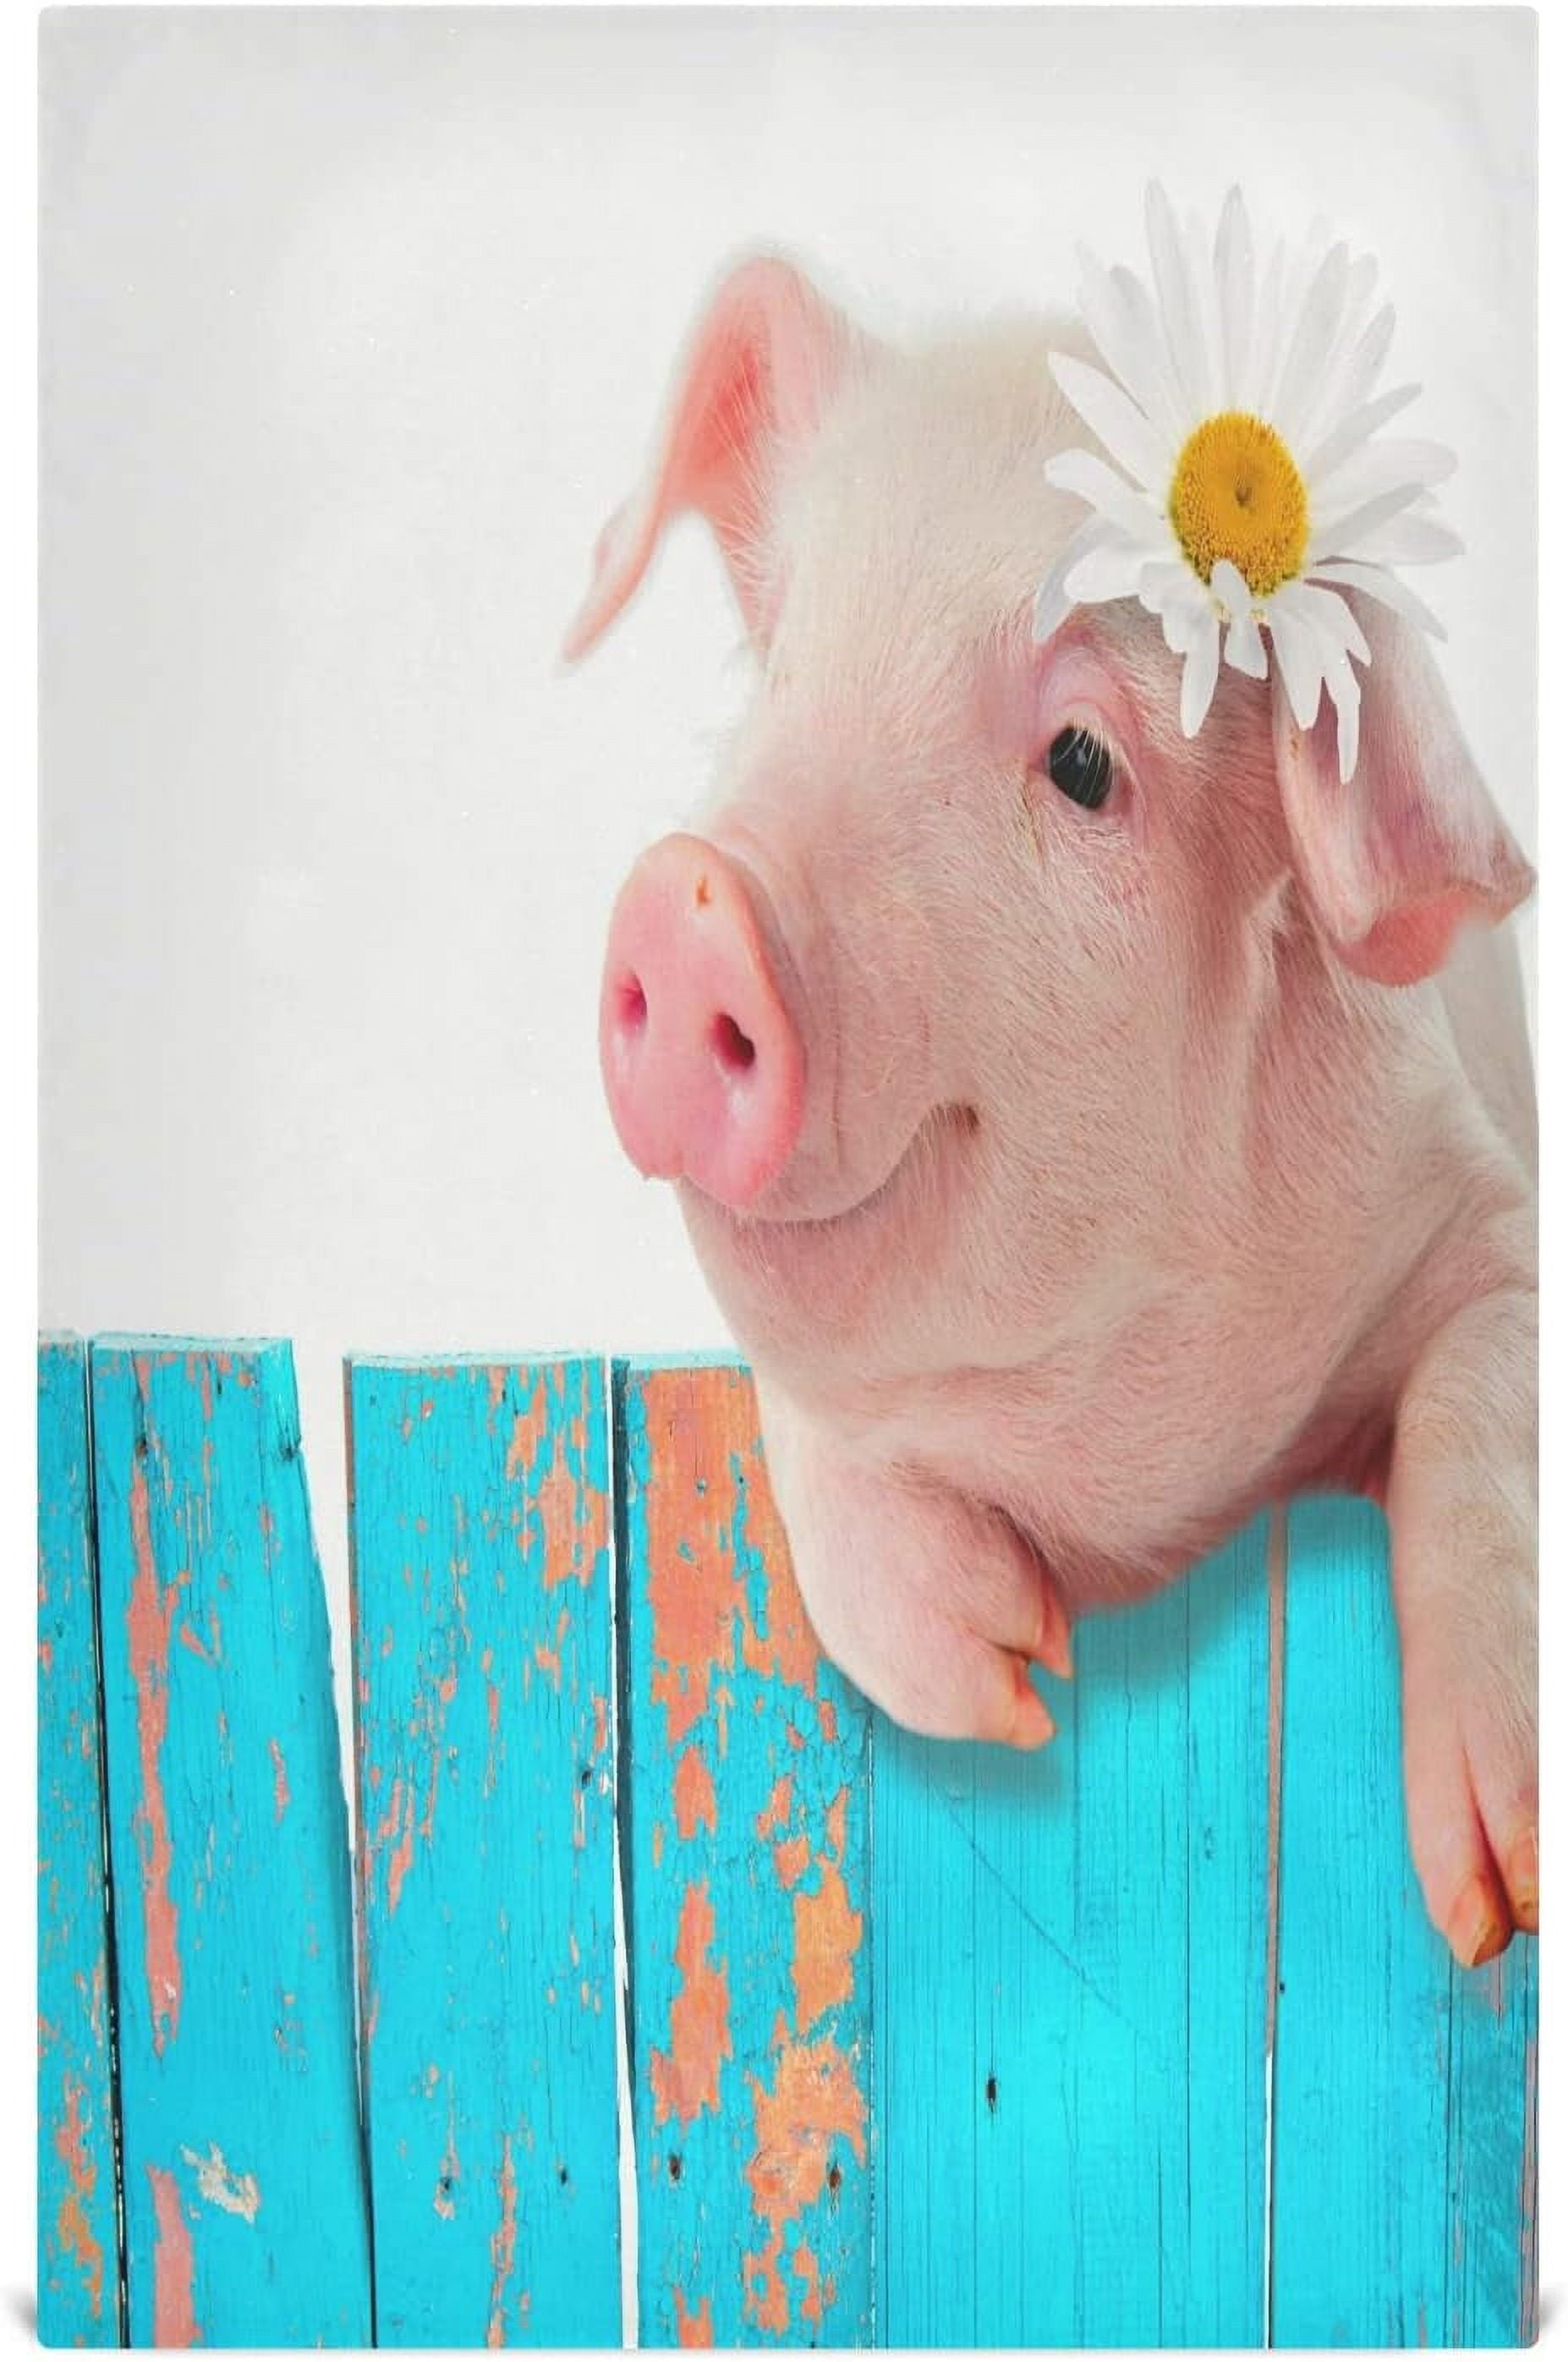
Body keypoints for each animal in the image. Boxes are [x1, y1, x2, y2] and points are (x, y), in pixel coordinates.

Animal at [565, 254, 1537, 1971]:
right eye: (783, 667)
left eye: (1082, 761)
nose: (687, 899)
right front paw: (1011, 1687)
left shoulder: (1482, 1207)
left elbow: (1478, 1418)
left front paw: (1495, 1905)